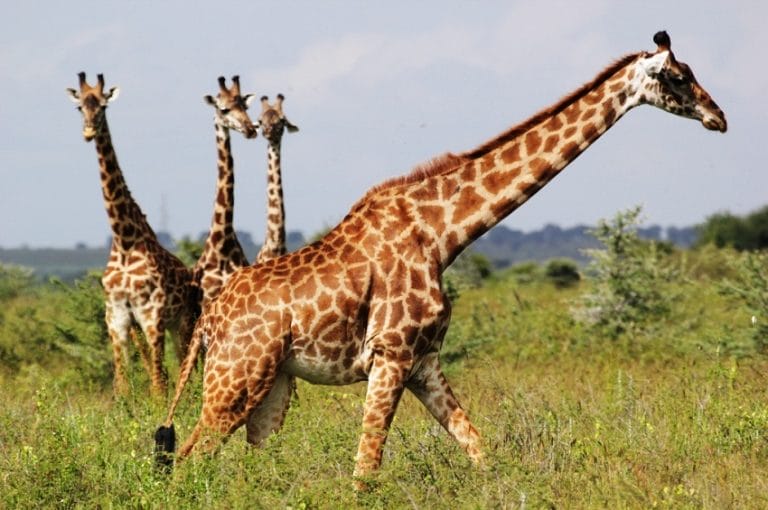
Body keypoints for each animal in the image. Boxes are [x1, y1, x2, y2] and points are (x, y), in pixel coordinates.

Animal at [67, 73, 200, 395]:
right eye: (79, 107)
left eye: (103, 106)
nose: (88, 131)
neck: (125, 240)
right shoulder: (116, 316)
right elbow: (122, 380)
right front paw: (125, 405)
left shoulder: (151, 314)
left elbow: (157, 382)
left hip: (182, 320)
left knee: (181, 365)